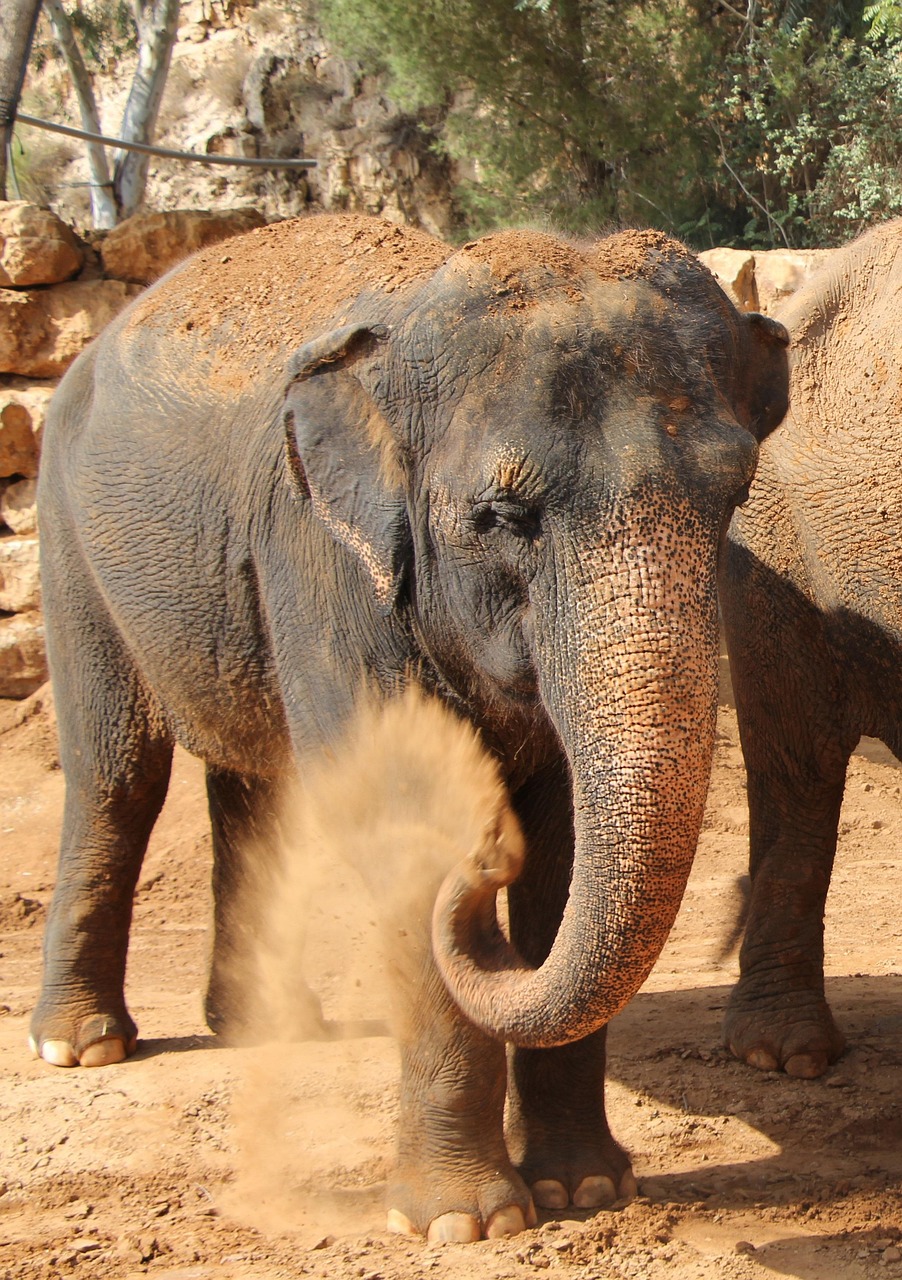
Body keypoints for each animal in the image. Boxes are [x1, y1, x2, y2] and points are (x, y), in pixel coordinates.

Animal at [31, 213, 789, 1241]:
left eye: (736, 496)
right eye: (501, 514)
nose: (483, 866)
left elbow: (559, 842)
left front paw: (586, 1190)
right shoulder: (317, 551)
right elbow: (405, 823)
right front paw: (465, 1223)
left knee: (250, 787)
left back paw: (267, 1026)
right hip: (68, 540)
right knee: (120, 774)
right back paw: (82, 1046)